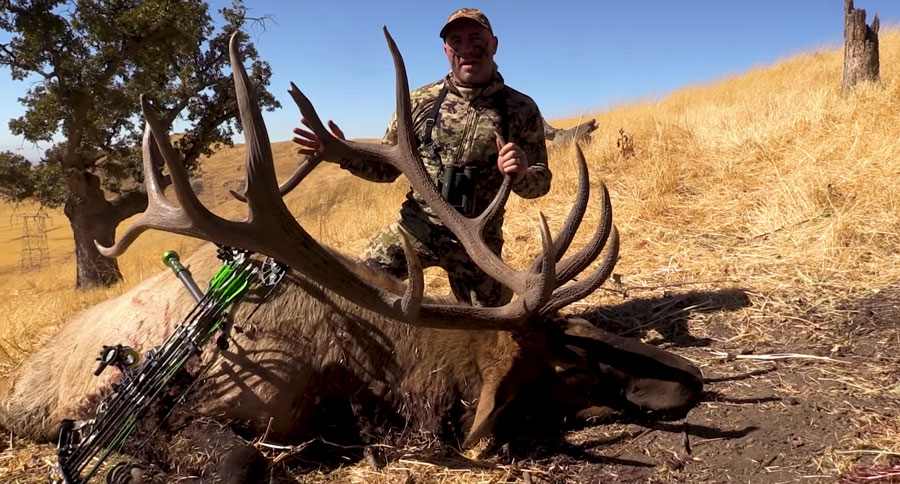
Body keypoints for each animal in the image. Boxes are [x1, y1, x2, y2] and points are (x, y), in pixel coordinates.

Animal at [0, 30, 702, 483]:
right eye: (568, 366)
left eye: (577, 325)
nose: (691, 378)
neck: (358, 371)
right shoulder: (202, 403)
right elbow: (241, 460)